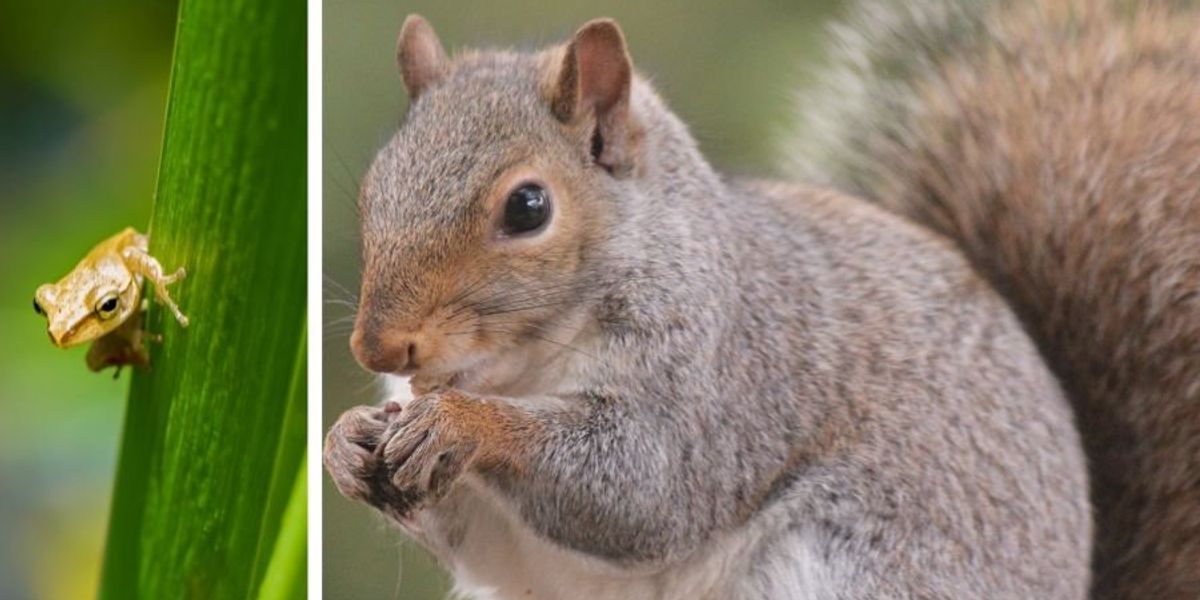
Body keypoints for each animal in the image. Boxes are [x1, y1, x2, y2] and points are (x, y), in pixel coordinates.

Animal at [325, 1, 1196, 599]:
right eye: (373, 188)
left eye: (528, 207)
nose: (378, 347)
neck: (522, 365)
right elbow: (485, 542)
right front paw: (347, 440)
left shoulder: (727, 380)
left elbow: (643, 489)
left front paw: (464, 425)